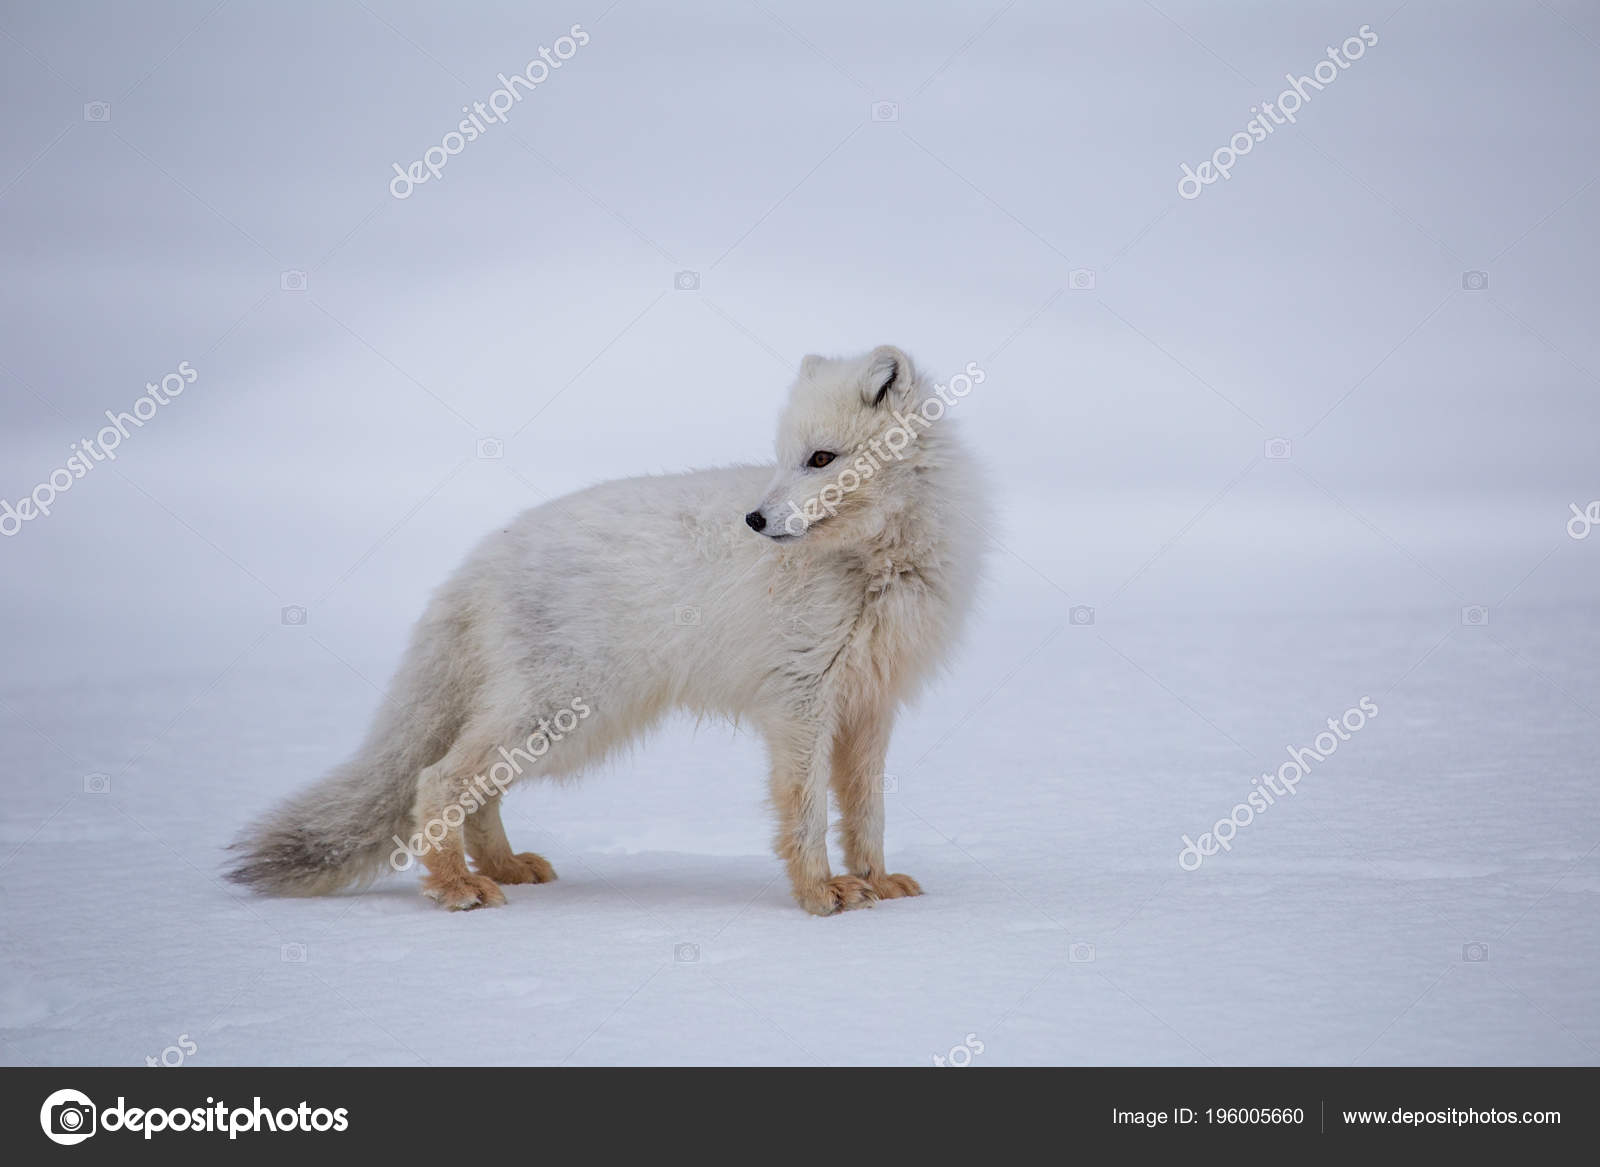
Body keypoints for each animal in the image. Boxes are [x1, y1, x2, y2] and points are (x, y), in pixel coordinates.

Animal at [227, 344, 987, 915]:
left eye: (821, 459)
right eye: (783, 458)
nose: (756, 520)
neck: (876, 563)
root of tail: (484, 556)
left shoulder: (870, 705)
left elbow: (865, 809)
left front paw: (876, 879)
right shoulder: (799, 700)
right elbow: (802, 809)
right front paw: (821, 891)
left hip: (561, 719)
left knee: (478, 790)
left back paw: (502, 866)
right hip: (566, 714)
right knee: (438, 779)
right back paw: (456, 884)